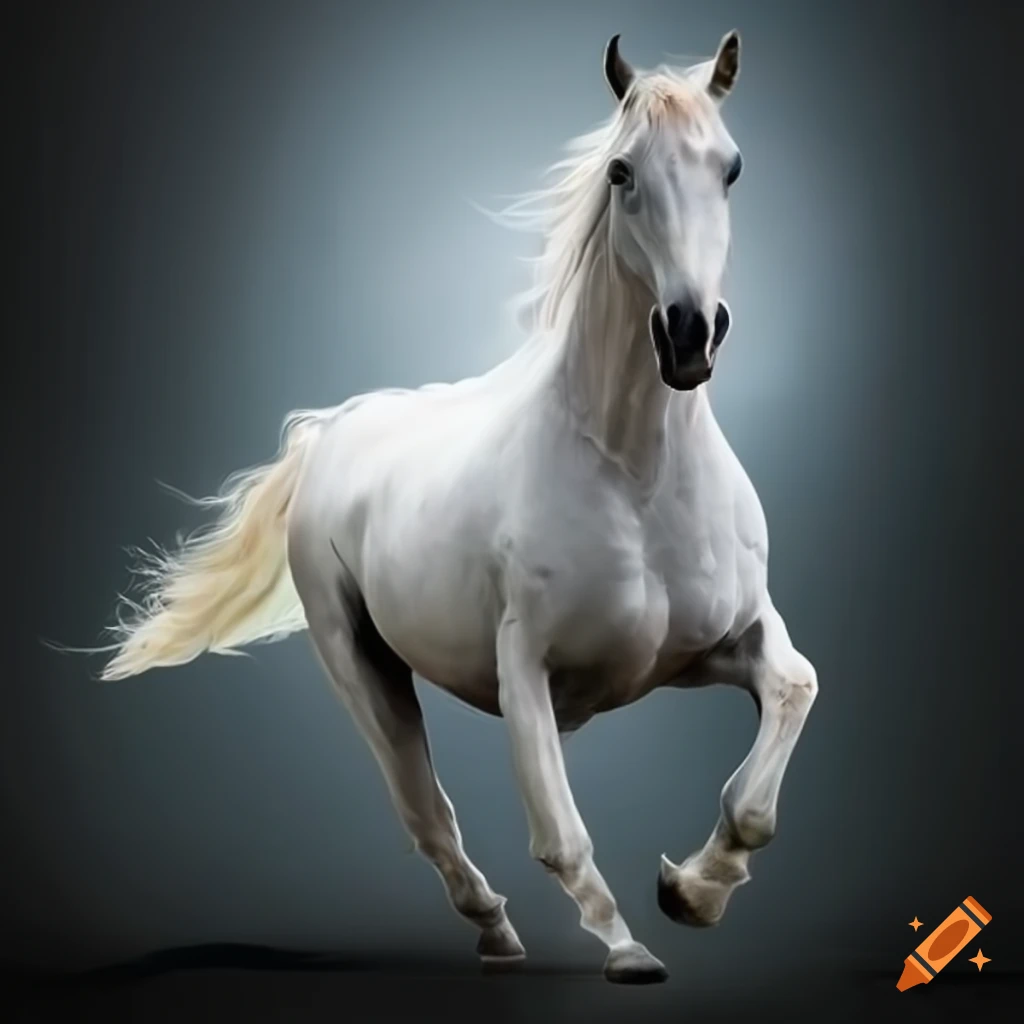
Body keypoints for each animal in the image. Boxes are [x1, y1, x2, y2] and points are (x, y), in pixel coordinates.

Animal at [93, 31, 818, 985]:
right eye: (622, 170)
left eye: (730, 168)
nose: (689, 335)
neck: (636, 476)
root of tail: (330, 429)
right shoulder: (527, 670)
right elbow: (560, 835)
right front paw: (628, 947)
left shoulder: (723, 642)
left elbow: (789, 711)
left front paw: (694, 889)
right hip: (360, 665)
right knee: (424, 808)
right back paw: (494, 930)